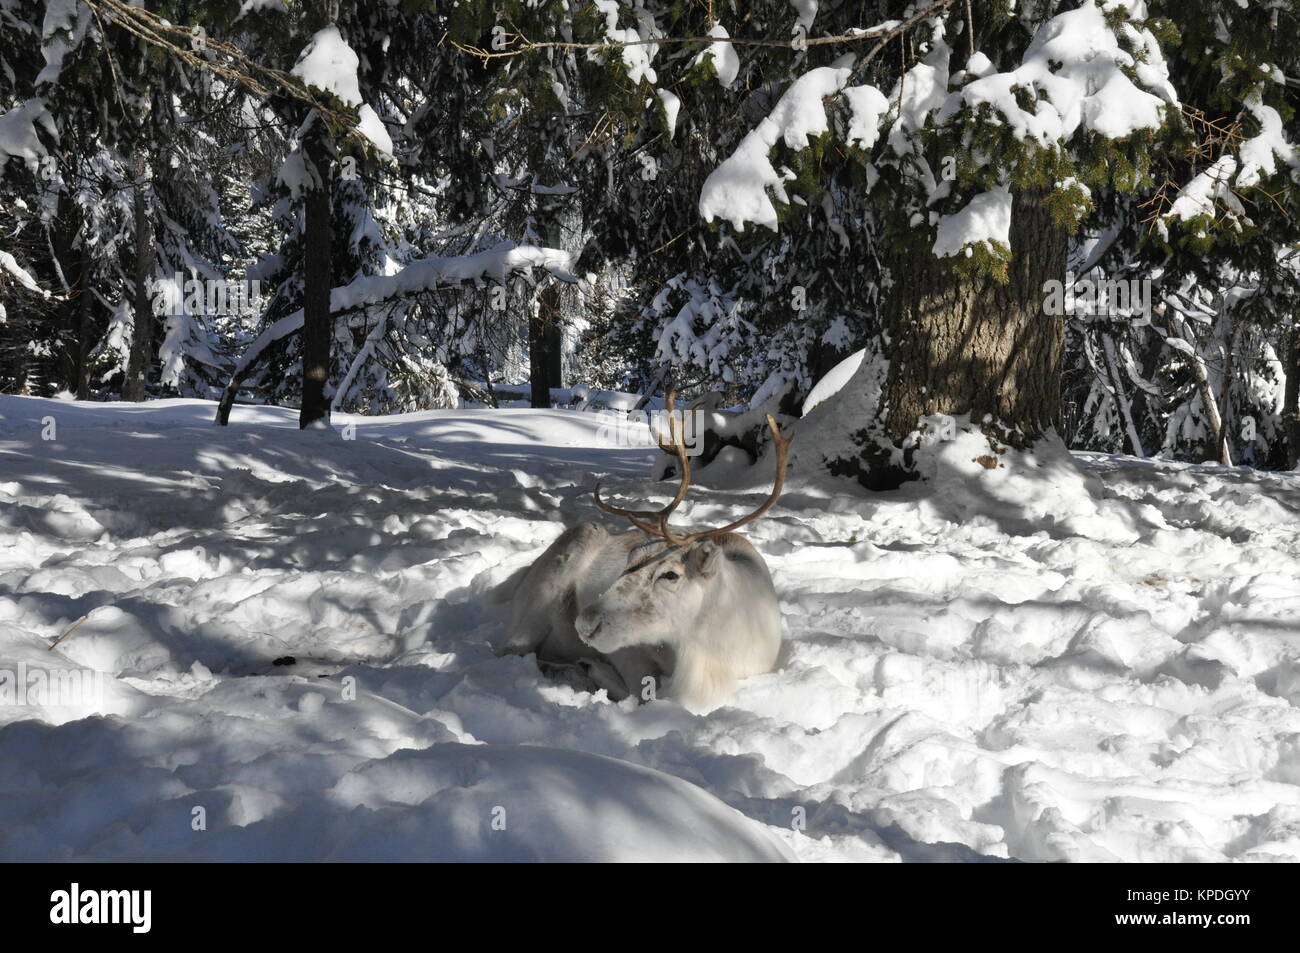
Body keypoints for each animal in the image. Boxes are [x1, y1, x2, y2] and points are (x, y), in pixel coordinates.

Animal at [496, 394, 792, 714]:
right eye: (629, 560)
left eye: (670, 574)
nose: (585, 623)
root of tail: (525, 573)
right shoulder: (629, 652)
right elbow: (639, 693)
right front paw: (594, 669)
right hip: (558, 572)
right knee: (510, 650)